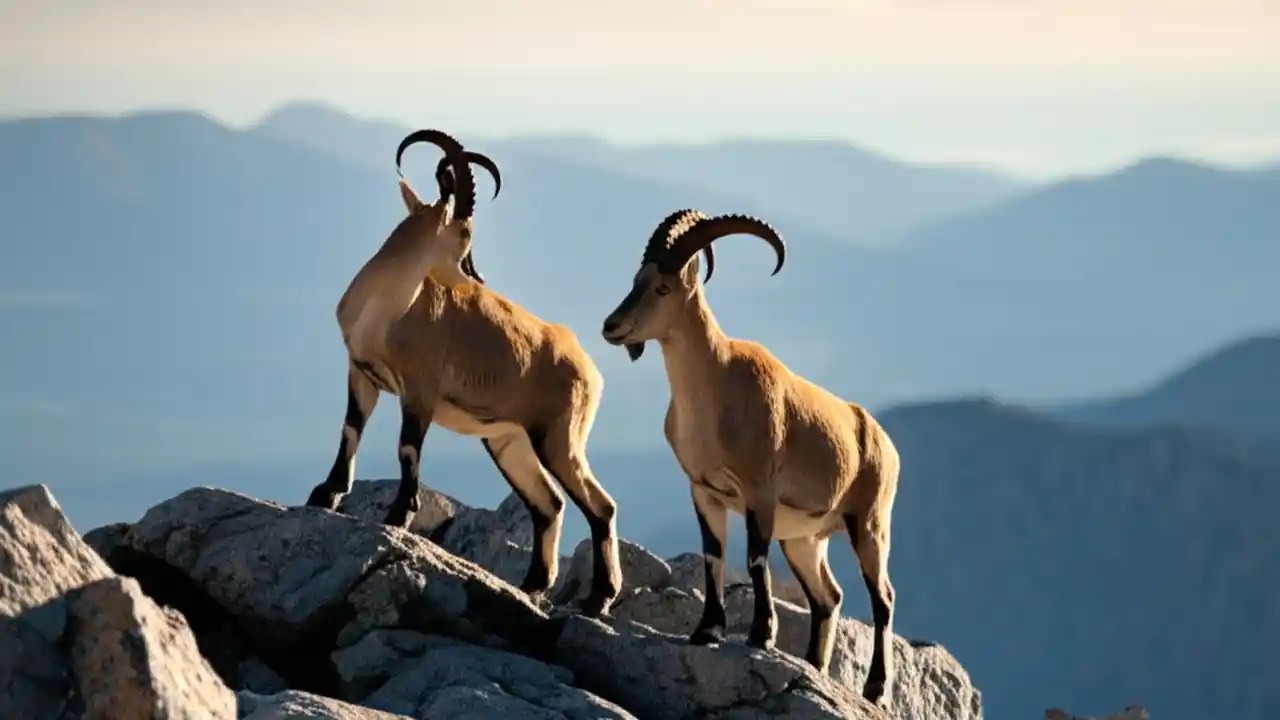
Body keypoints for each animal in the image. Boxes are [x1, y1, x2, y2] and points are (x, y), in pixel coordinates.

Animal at [305, 130, 622, 616]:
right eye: (467, 232)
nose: (480, 279)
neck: (387, 310)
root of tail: (588, 367)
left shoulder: (420, 391)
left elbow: (407, 448)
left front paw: (398, 515)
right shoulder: (362, 374)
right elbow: (350, 431)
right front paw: (326, 494)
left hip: (559, 437)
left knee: (600, 506)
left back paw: (599, 598)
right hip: (508, 441)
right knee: (548, 503)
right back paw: (534, 583)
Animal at [599, 210, 901, 704]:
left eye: (662, 288)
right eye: (636, 279)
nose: (611, 326)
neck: (713, 390)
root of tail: (886, 445)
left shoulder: (759, 492)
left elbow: (755, 558)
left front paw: (761, 634)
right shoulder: (704, 491)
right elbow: (714, 556)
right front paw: (707, 630)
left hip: (870, 525)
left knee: (883, 597)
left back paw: (875, 688)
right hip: (804, 539)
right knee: (828, 597)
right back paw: (813, 667)